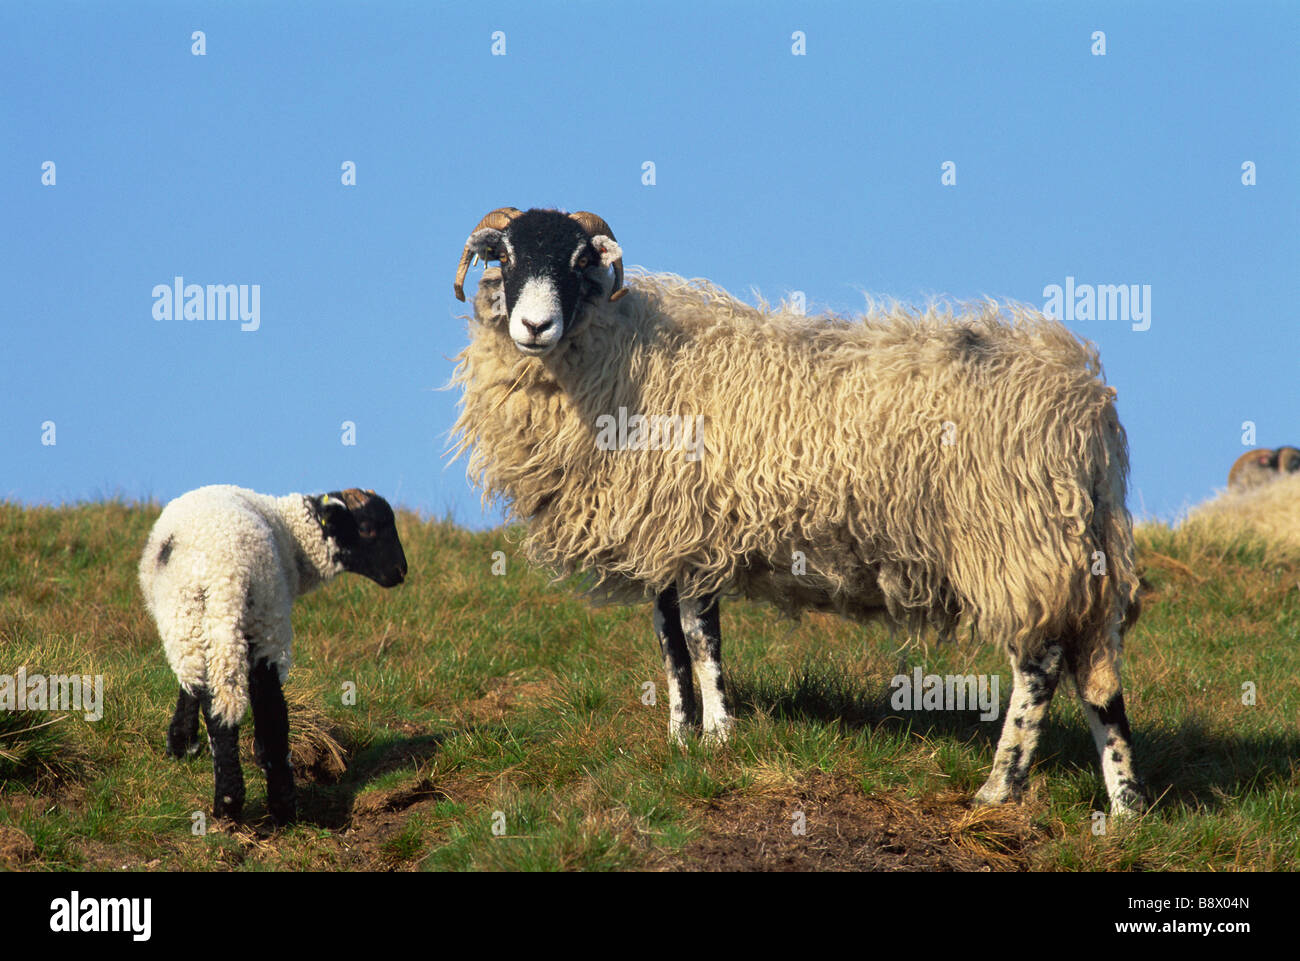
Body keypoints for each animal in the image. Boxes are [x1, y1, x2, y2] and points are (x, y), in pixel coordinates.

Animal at [138, 484, 407, 824]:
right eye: (367, 528)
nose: (400, 571)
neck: (292, 533)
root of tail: (228, 574)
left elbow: (190, 688)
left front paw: (182, 743)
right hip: (261, 614)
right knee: (270, 709)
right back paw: (281, 805)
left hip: (220, 617)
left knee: (228, 706)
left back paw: (229, 803)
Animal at [446, 206, 1148, 817]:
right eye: (506, 257)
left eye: (577, 260)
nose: (534, 328)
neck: (623, 358)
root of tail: (1089, 405)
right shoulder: (662, 539)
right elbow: (669, 643)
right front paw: (678, 738)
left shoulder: (696, 532)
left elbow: (701, 640)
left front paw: (719, 737)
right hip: (1072, 544)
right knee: (1097, 675)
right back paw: (1126, 808)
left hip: (1015, 541)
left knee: (1041, 665)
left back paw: (1000, 789)